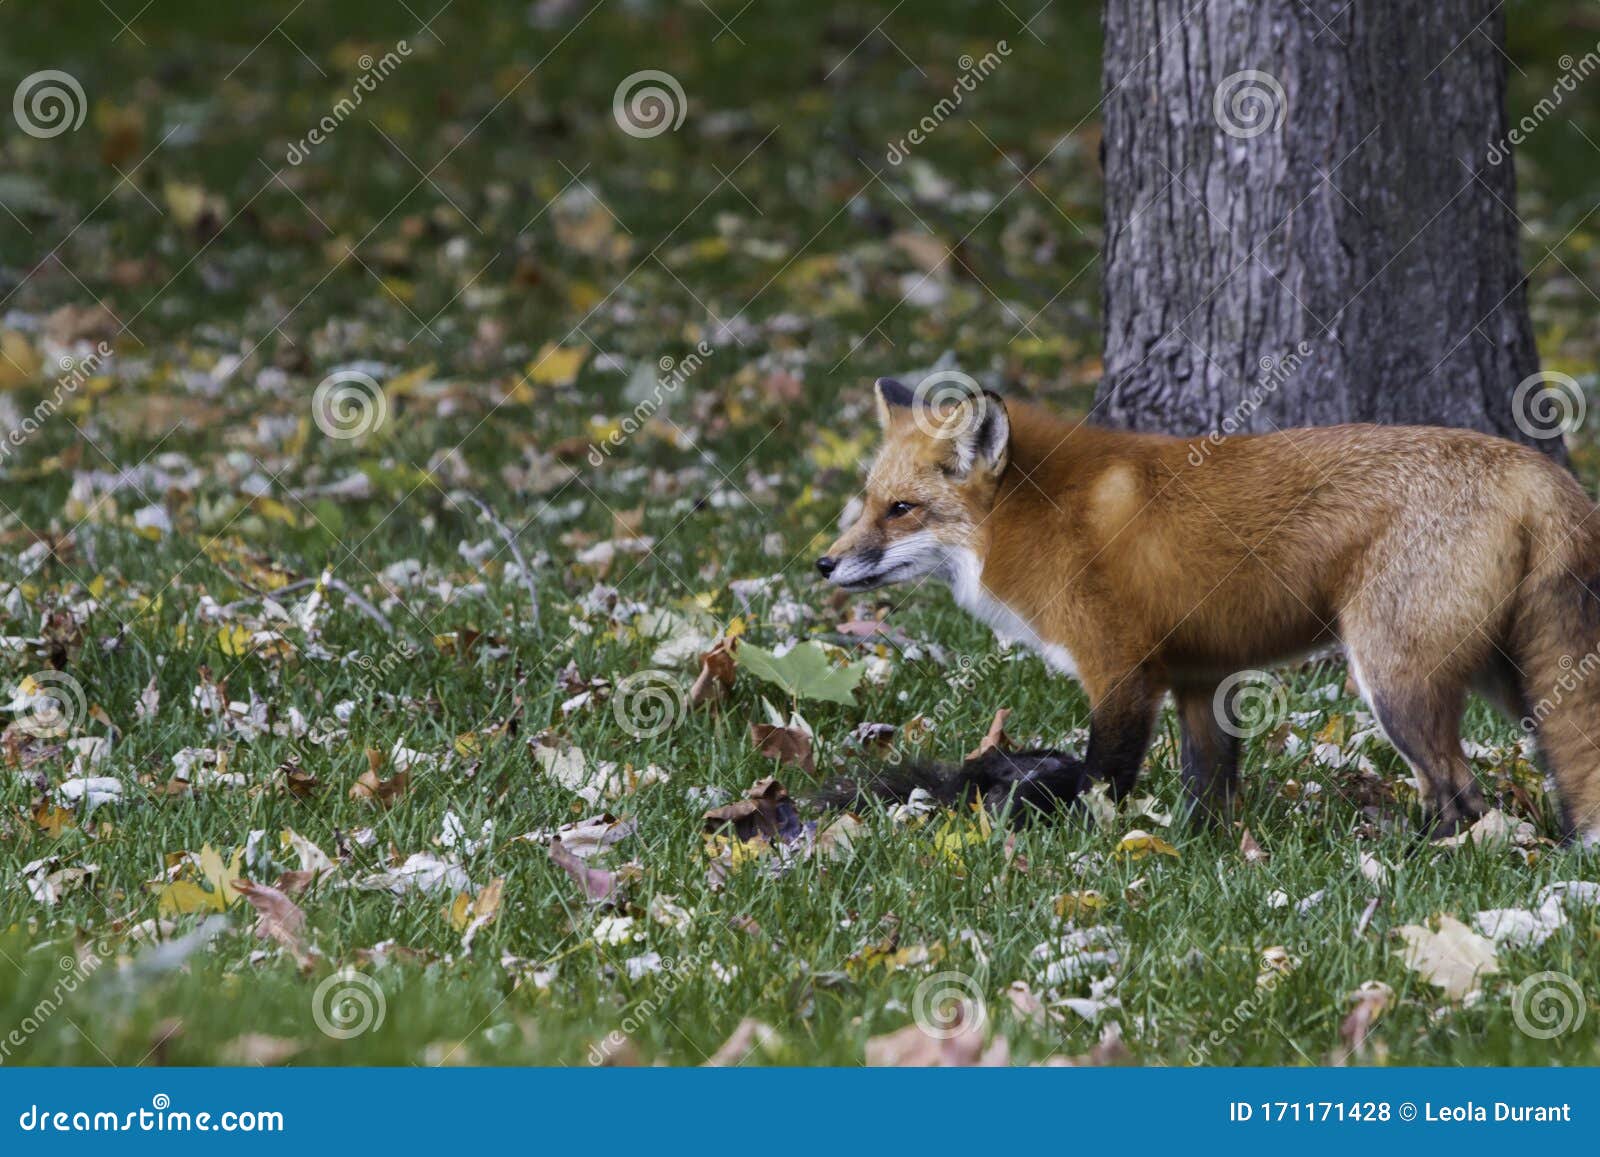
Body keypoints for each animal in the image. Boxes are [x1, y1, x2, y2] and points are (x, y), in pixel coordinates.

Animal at [817, 378, 1600, 843]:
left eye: (901, 509)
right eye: (868, 500)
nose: (823, 564)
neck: (1041, 516)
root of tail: (1539, 469)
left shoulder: (1121, 672)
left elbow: (1103, 780)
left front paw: (1089, 848)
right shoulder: (1202, 679)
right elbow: (1208, 786)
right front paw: (1200, 852)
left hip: (1396, 685)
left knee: (1457, 793)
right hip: (1515, 678)